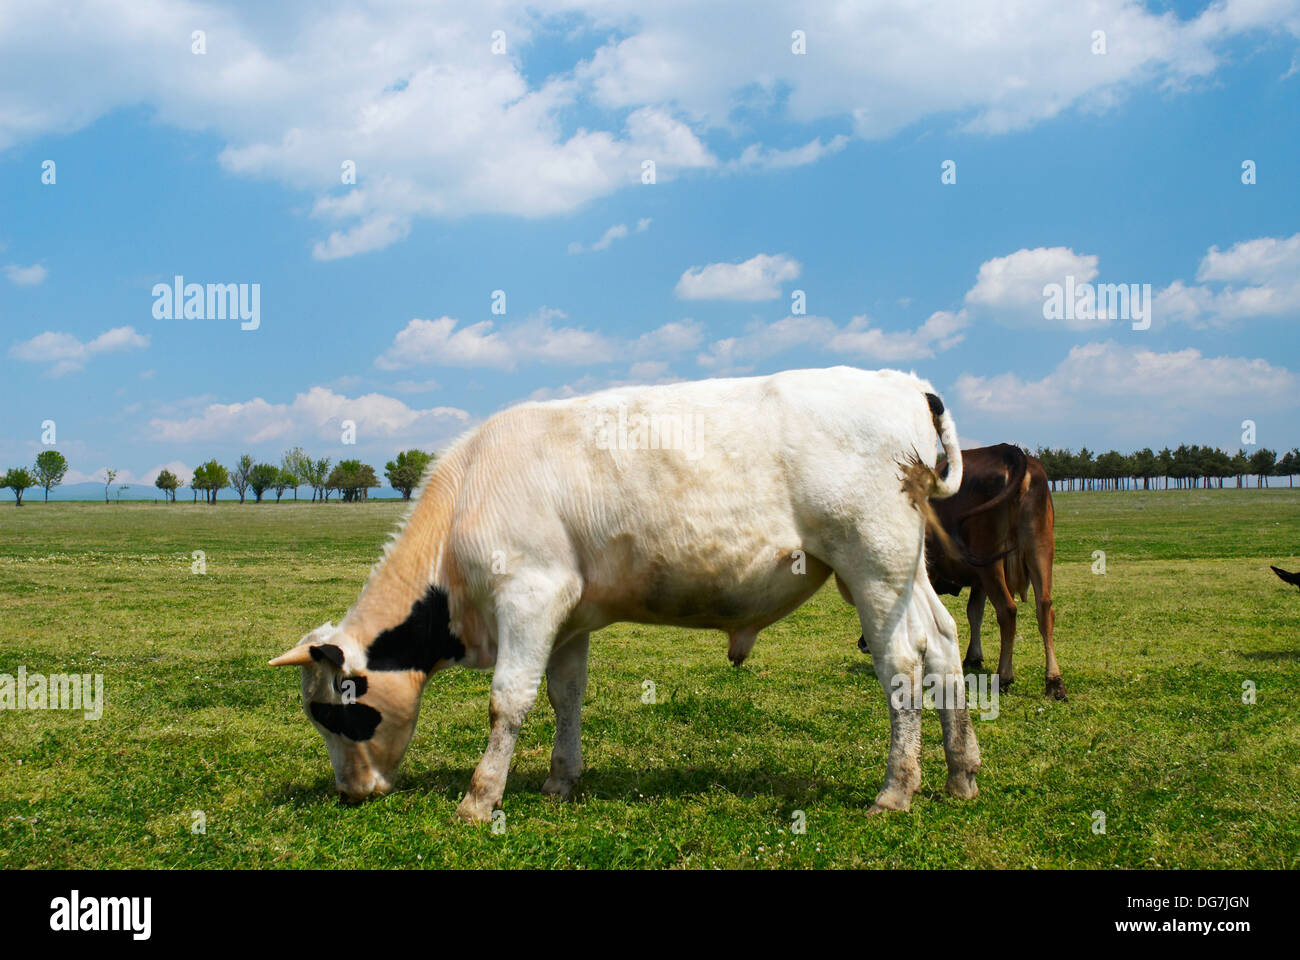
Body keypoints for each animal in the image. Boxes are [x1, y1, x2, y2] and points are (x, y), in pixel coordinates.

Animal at [268, 367, 982, 821]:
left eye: (334, 713)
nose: (350, 793)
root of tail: (902, 382)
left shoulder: (530, 595)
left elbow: (508, 701)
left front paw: (479, 799)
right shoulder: (569, 618)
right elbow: (564, 696)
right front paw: (559, 780)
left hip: (871, 562)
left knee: (901, 664)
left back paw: (896, 791)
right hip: (902, 570)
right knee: (943, 646)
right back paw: (960, 773)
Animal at [924, 443, 1065, 700]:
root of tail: (1010, 452)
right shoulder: (979, 582)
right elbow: (974, 612)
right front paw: (974, 656)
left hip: (991, 562)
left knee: (1008, 611)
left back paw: (1004, 677)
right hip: (1040, 550)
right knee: (1045, 609)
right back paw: (1054, 681)